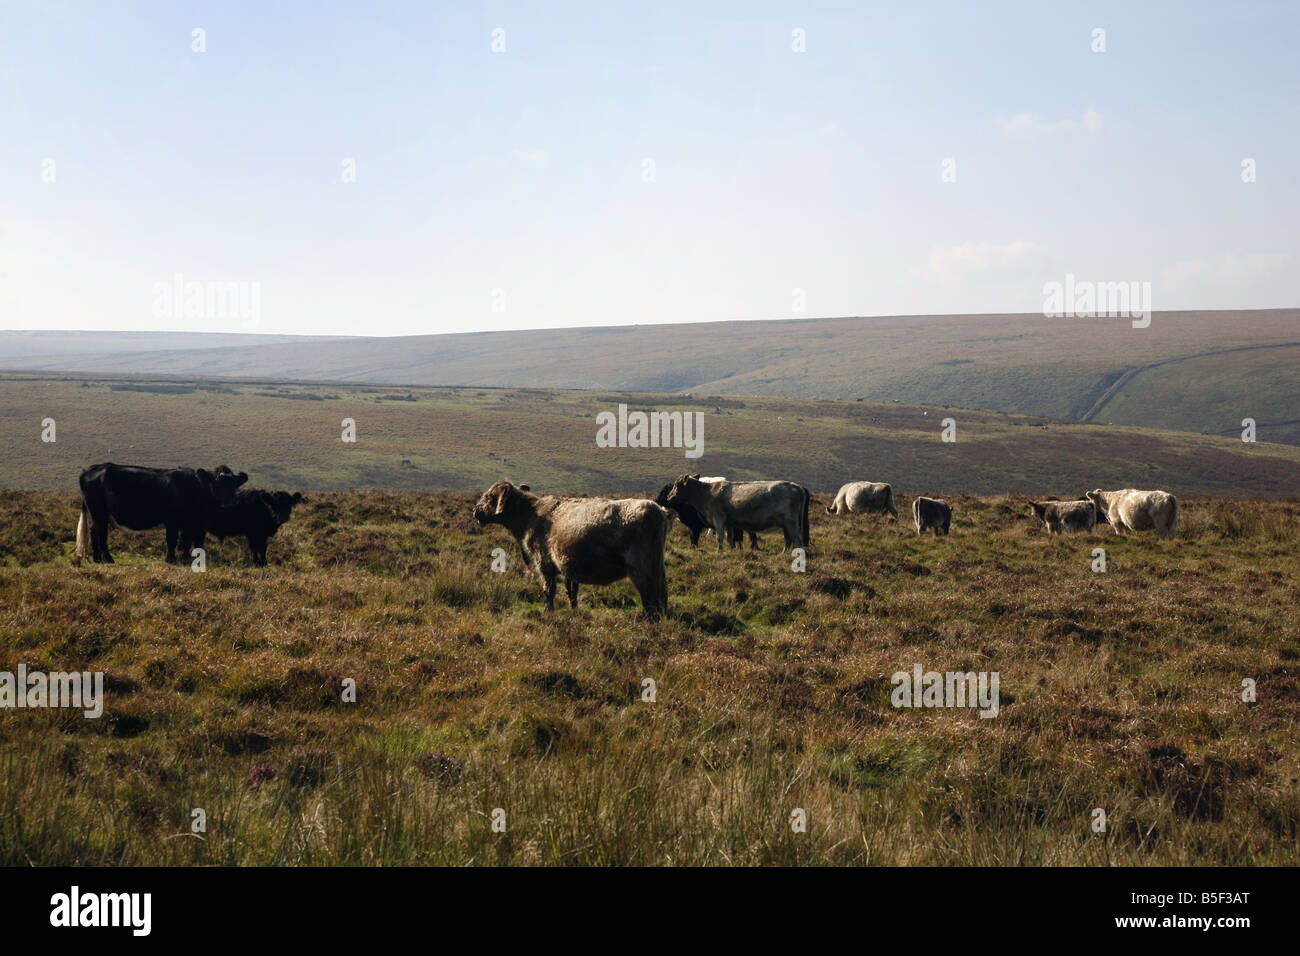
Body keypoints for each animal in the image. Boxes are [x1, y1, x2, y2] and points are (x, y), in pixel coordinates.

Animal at [75, 463, 248, 564]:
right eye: (216, 483)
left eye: (234, 484)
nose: (229, 502)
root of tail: (91, 469)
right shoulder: (172, 521)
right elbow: (172, 540)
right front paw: (170, 559)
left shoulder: (193, 524)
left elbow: (188, 541)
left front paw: (186, 558)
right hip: (99, 512)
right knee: (100, 533)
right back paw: (107, 559)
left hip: (99, 514)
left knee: (95, 532)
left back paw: (97, 559)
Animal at [473, 481, 670, 619]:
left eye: (490, 497)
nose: (475, 511)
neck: (529, 516)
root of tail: (658, 510)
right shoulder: (569, 566)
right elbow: (572, 592)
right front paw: (574, 612)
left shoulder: (544, 565)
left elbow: (549, 591)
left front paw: (549, 613)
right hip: (657, 567)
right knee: (661, 596)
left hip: (642, 569)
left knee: (650, 598)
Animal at [663, 474, 809, 553]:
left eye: (677, 485)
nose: (669, 497)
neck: (707, 493)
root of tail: (797, 487)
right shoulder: (729, 523)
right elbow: (730, 538)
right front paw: (732, 551)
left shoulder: (718, 519)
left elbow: (720, 537)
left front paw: (719, 552)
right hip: (785, 524)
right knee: (788, 539)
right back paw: (783, 554)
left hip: (791, 522)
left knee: (797, 539)